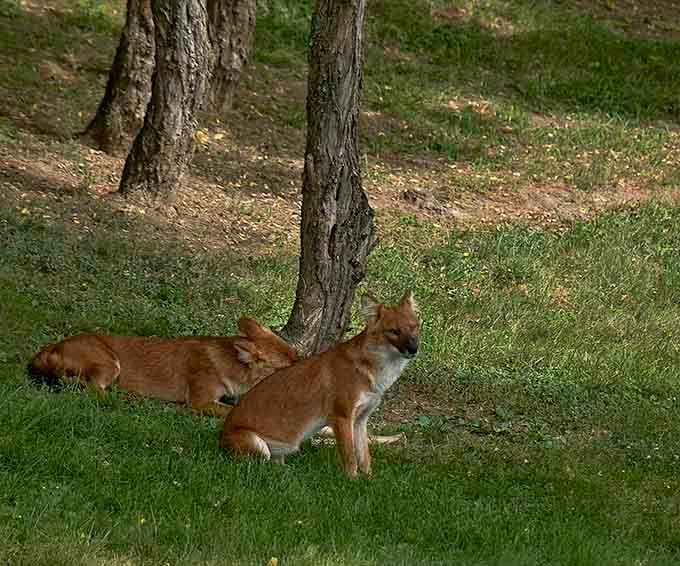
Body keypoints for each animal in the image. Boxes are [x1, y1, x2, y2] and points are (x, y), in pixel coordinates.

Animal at [28, 317, 298, 417]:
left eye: (296, 356)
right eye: (288, 366)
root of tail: (47, 349)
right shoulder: (200, 401)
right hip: (110, 363)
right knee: (95, 391)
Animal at [220, 290, 419, 477]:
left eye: (414, 327)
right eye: (394, 331)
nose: (414, 349)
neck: (373, 371)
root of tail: (221, 436)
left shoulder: (361, 419)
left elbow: (365, 457)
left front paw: (368, 479)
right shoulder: (342, 416)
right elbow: (350, 457)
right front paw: (352, 480)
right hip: (257, 444)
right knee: (261, 467)